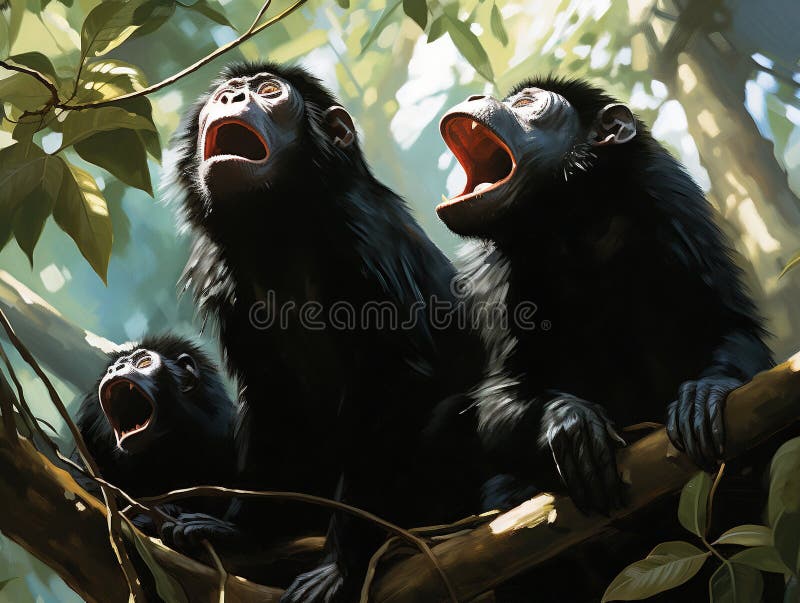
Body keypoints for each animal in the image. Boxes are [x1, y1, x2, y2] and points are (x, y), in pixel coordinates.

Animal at [160, 61, 489, 600]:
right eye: (223, 95)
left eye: (268, 91)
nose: (231, 96)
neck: (280, 235)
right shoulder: (228, 281)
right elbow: (270, 396)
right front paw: (236, 530)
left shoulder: (361, 238)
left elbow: (397, 382)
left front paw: (342, 563)